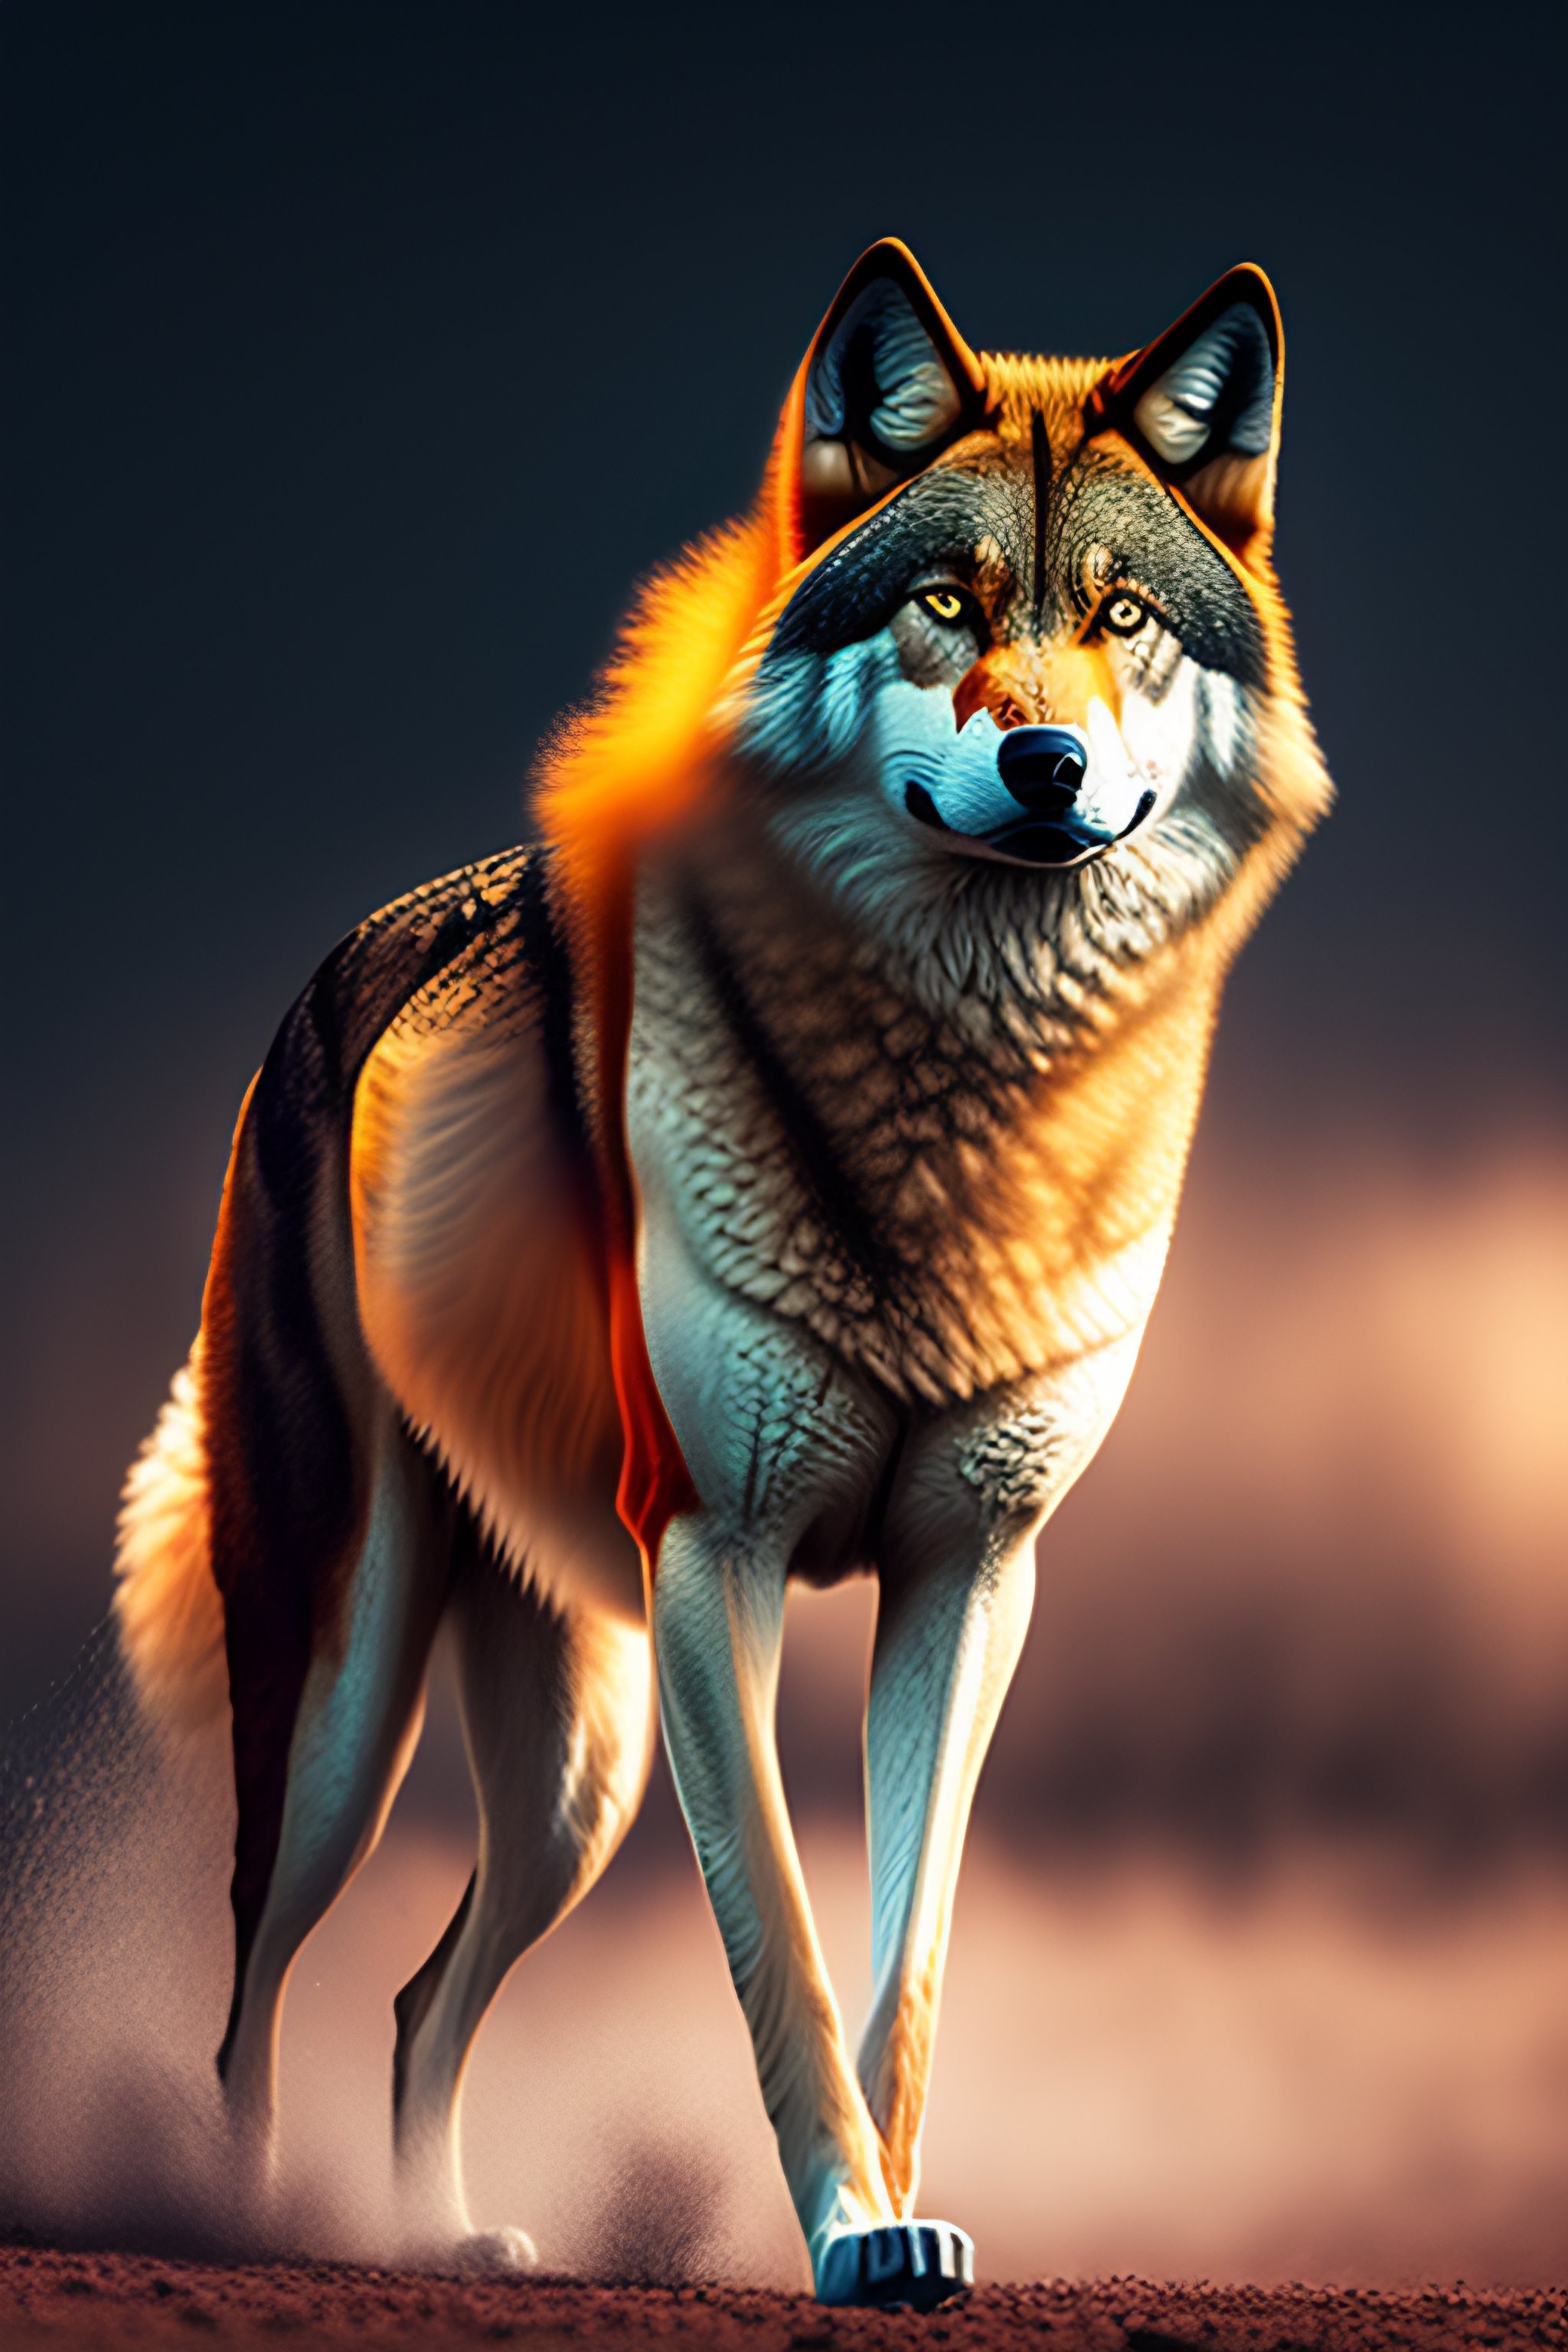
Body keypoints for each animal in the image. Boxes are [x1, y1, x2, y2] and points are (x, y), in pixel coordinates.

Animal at [111, 240, 1330, 2304]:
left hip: (576, 1767)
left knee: (416, 2000)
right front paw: (848, 2226)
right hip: (359, 1695)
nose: (1045, 761)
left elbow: (903, 1970)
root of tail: (349, 956)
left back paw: (447, 2239)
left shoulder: (968, 1582)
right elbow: (780, 1943)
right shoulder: (720, 1557)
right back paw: (257, 2224)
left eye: (1119, 617)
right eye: (947, 602)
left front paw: (898, 2213)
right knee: (246, 1994)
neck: (958, 1116)